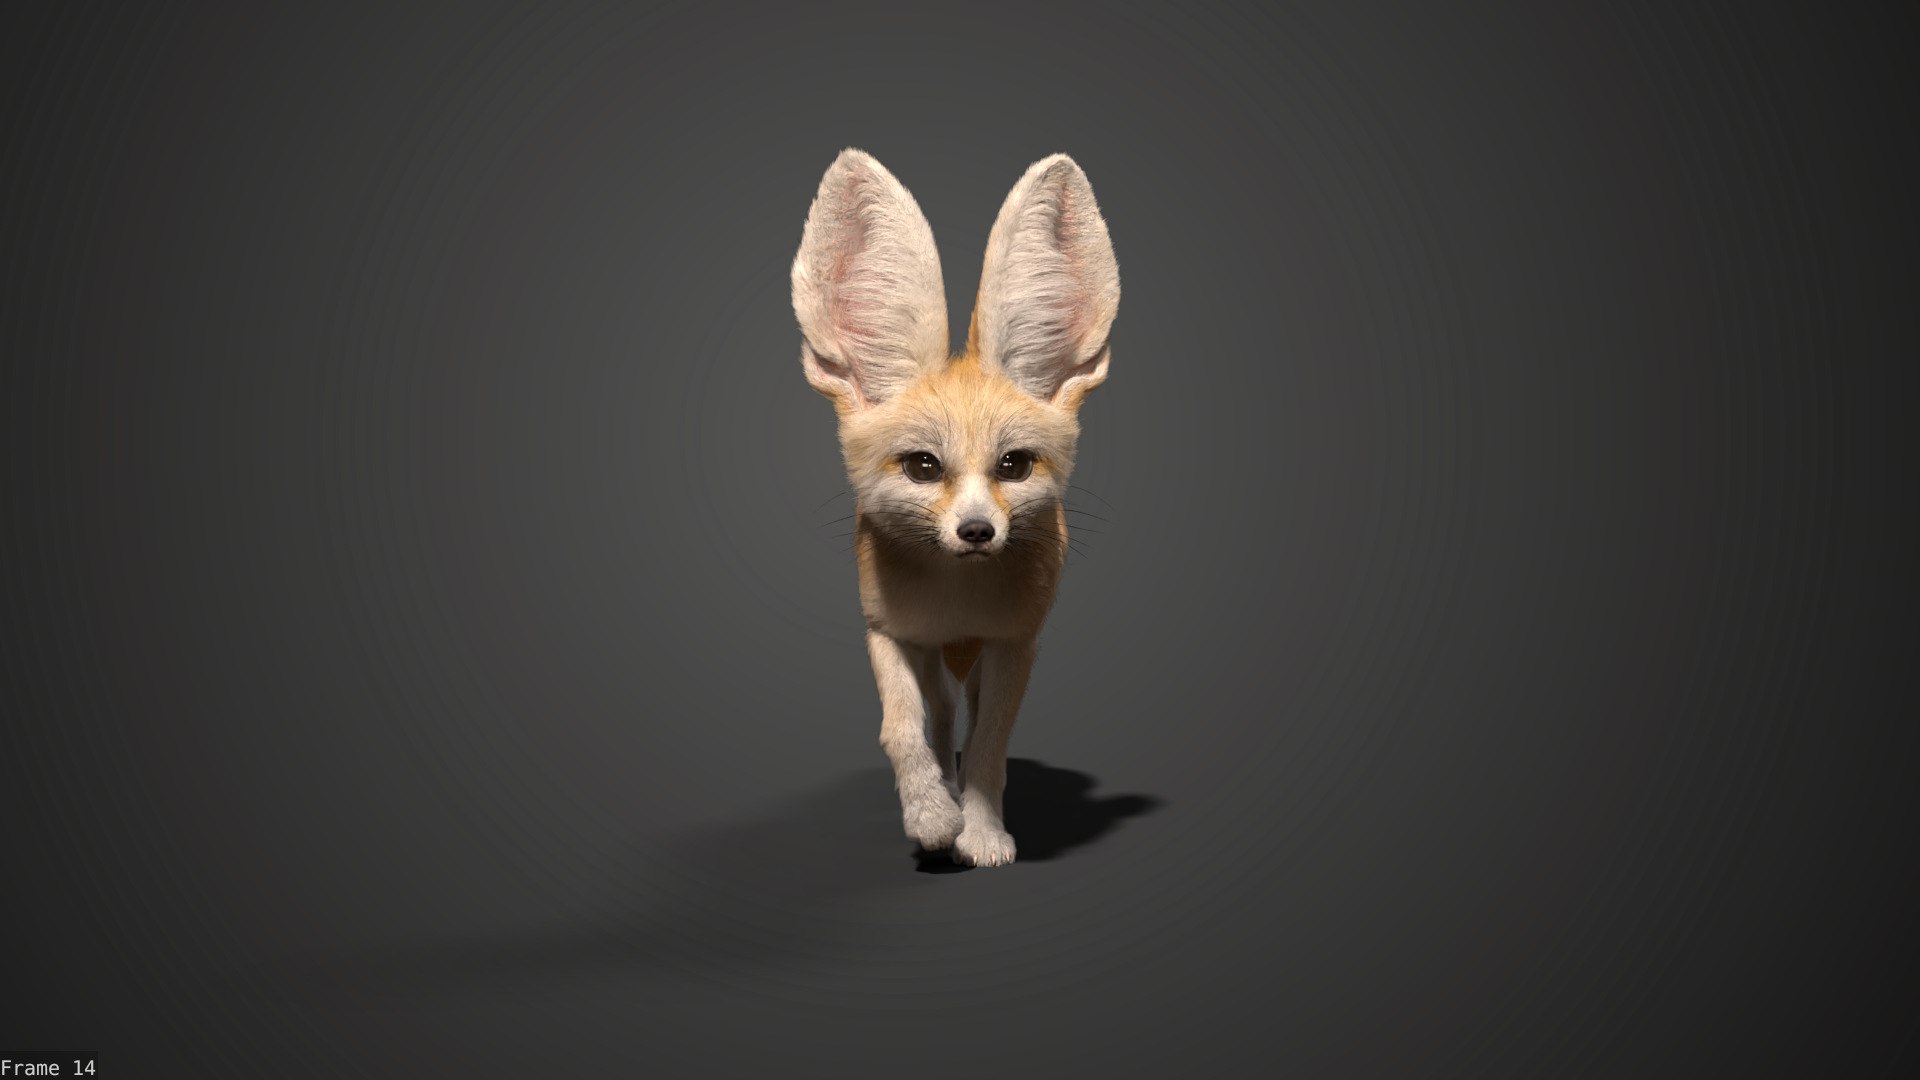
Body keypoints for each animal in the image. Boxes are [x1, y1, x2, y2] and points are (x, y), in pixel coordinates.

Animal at [790, 149, 1120, 867]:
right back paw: (941, 786)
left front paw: (984, 831)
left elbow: (992, 745)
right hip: (930, 657)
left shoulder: (1014, 643)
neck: (957, 598)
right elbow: (901, 730)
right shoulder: (889, 634)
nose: (976, 530)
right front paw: (932, 815)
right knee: (939, 718)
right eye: (923, 467)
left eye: (1013, 466)